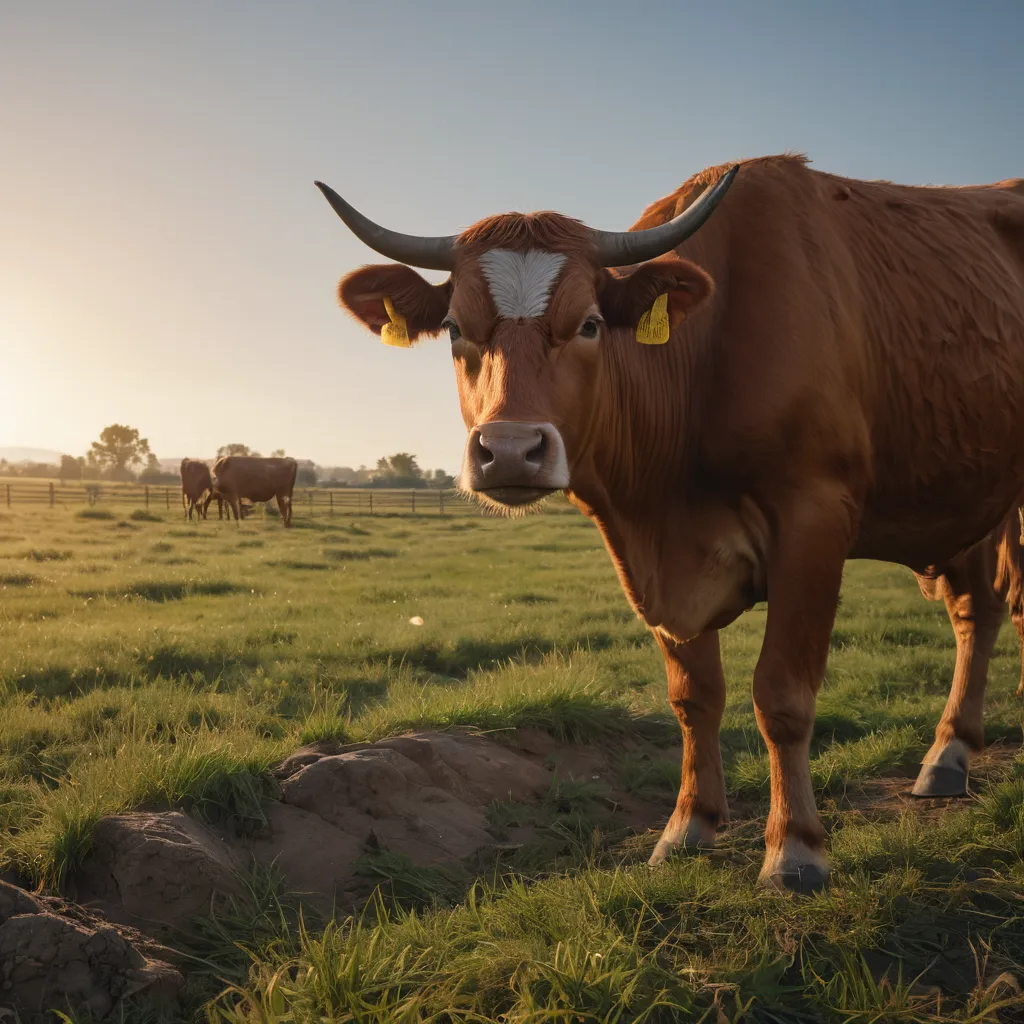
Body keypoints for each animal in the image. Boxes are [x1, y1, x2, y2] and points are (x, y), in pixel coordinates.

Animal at [316, 154, 1024, 891]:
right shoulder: (652, 560)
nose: (509, 450)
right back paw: (949, 754)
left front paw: (795, 847)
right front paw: (689, 825)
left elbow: (782, 694)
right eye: (456, 328)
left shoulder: (814, 520)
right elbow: (694, 696)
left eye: (590, 323)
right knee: (979, 610)